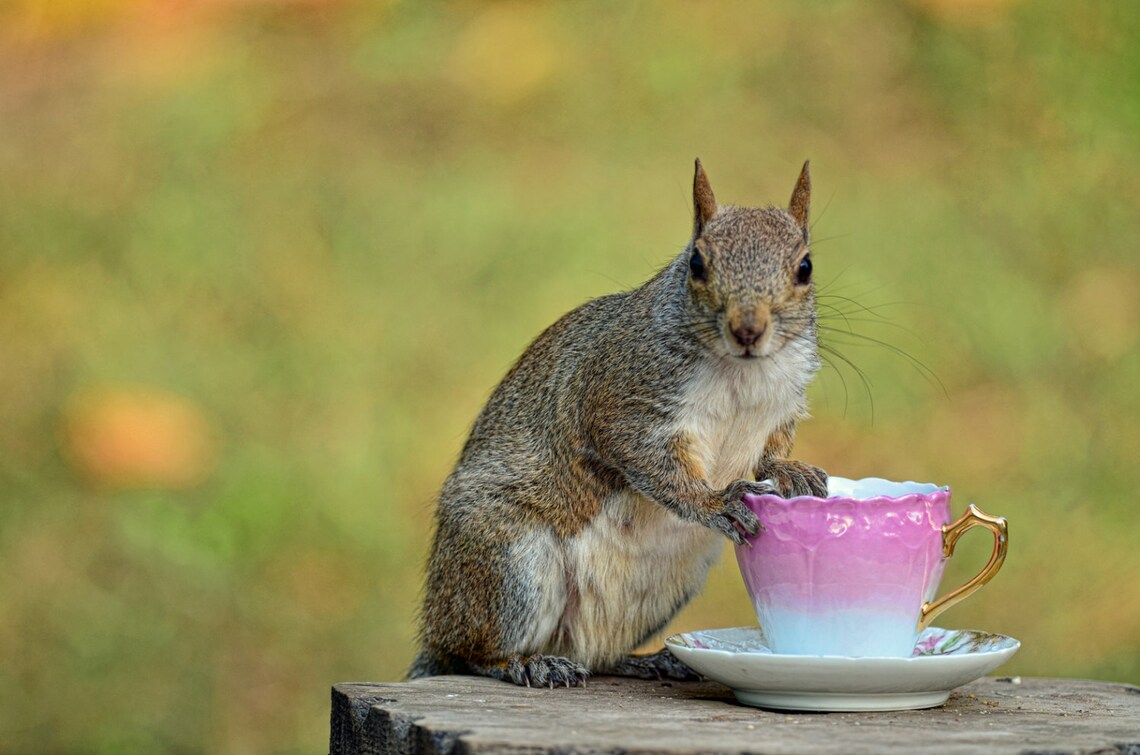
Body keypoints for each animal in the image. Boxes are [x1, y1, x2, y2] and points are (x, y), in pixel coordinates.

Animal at [409, 160, 828, 687]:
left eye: (805, 267)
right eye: (697, 263)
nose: (747, 329)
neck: (742, 373)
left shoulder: (783, 403)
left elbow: (771, 448)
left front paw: (790, 469)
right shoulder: (619, 400)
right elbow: (648, 462)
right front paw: (714, 502)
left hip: (662, 588)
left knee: (598, 654)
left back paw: (650, 660)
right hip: (510, 563)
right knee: (472, 651)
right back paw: (524, 663)